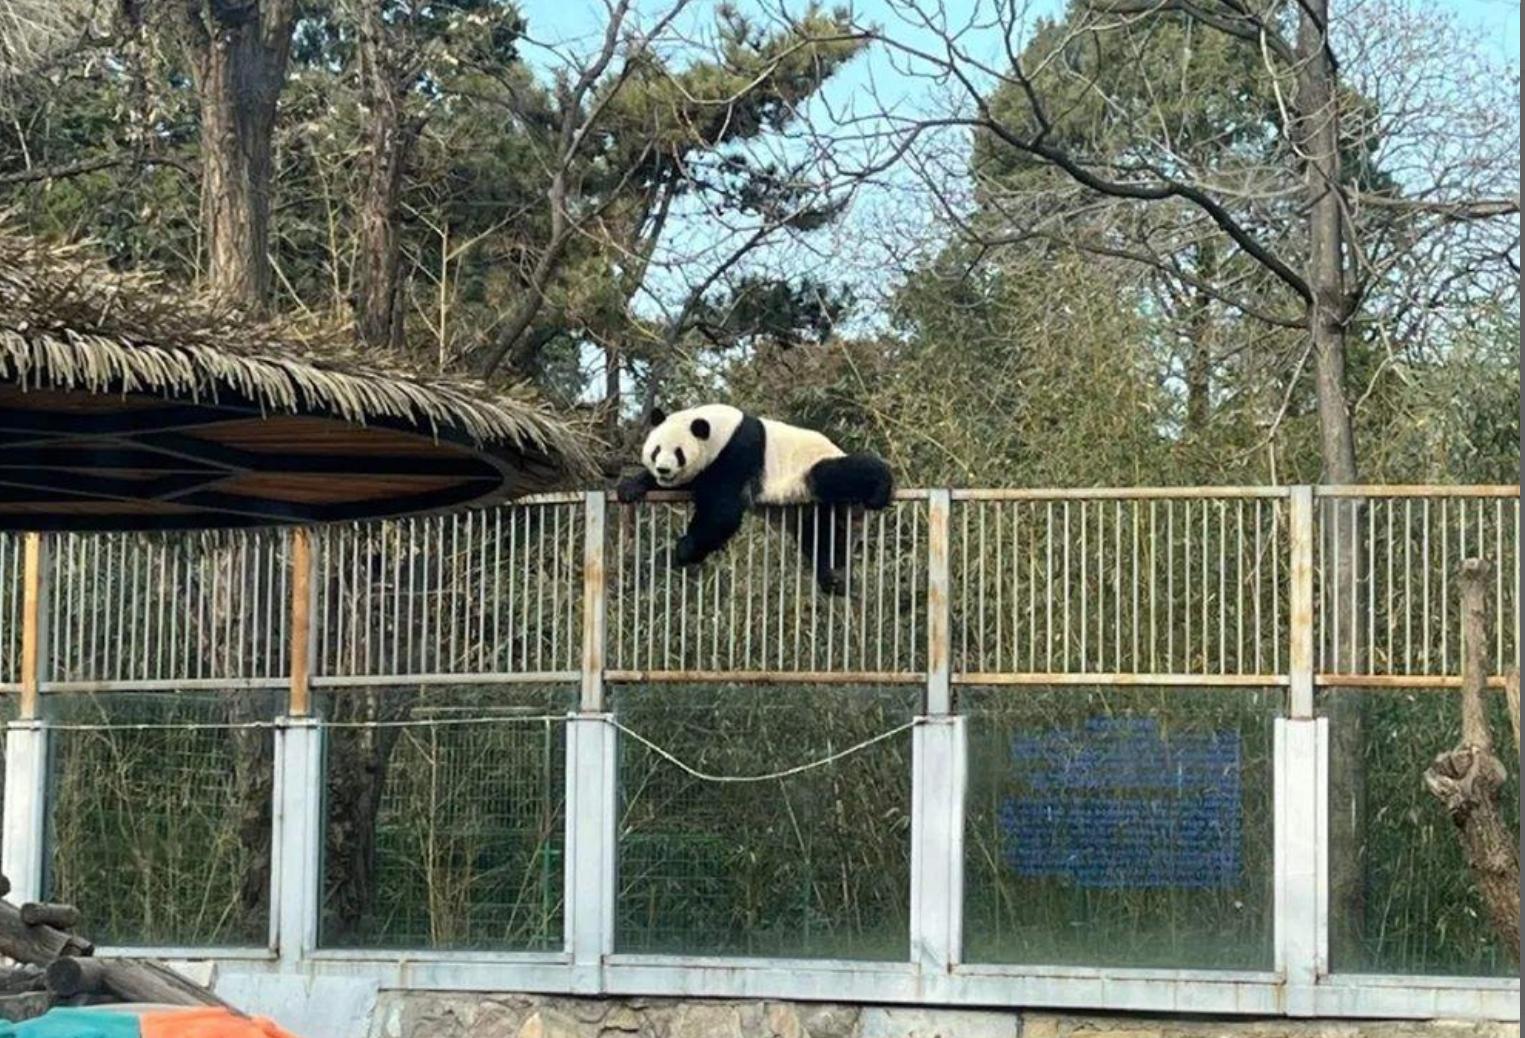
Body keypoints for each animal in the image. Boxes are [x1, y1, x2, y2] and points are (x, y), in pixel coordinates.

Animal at [615, 404, 894, 594]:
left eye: (678, 453)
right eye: (656, 450)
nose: (663, 470)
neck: (721, 429)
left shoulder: (736, 454)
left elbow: (722, 513)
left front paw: (684, 549)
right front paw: (630, 487)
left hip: (811, 467)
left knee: (838, 473)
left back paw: (881, 487)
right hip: (815, 509)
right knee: (822, 537)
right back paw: (834, 578)